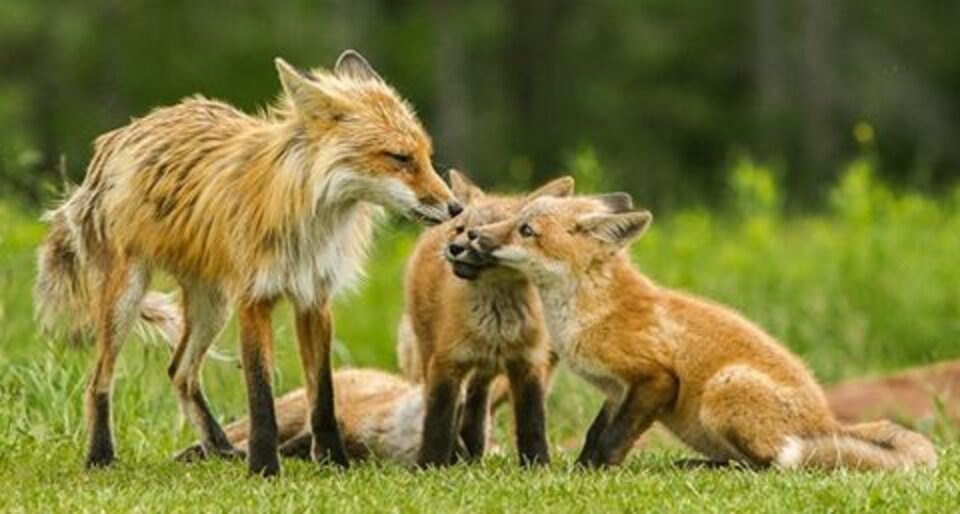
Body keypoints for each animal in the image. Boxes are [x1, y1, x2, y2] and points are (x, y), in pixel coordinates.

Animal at [33, 49, 460, 476]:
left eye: (426, 157)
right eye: (400, 158)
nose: (455, 208)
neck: (312, 223)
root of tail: (124, 132)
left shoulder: (314, 299)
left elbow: (323, 397)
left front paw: (333, 462)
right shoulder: (254, 299)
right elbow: (260, 395)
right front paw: (265, 468)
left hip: (212, 307)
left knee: (180, 371)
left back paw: (220, 448)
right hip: (127, 297)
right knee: (98, 379)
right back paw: (100, 455)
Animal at [397, 171, 571, 467]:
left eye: (482, 234)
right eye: (460, 229)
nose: (453, 248)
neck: (496, 326)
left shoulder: (529, 364)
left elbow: (533, 425)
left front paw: (538, 466)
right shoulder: (446, 363)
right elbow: (437, 424)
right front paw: (430, 465)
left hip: (485, 370)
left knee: (474, 412)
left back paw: (474, 454)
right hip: (428, 353)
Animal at [457, 193, 938, 471]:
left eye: (526, 230)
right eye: (515, 219)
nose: (475, 235)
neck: (590, 311)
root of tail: (827, 419)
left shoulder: (655, 377)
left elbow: (614, 440)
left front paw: (592, 475)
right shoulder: (616, 389)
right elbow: (597, 434)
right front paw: (580, 468)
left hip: (724, 388)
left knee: (768, 466)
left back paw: (699, 467)